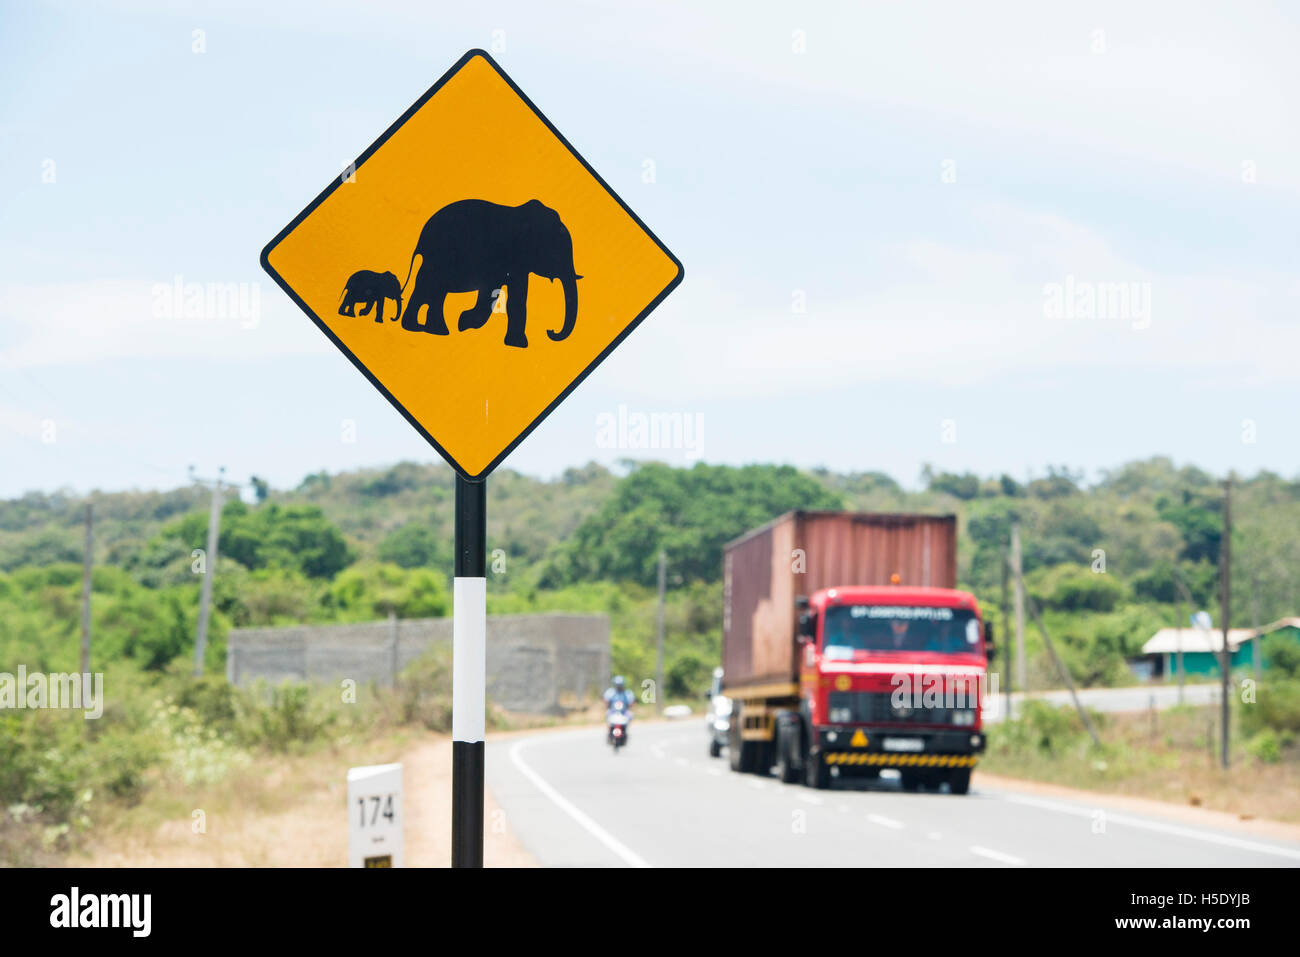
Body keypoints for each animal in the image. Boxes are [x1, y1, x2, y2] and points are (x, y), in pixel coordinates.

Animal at [398, 199, 581, 348]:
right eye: (555, 252)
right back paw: (425, 329)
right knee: (429, 287)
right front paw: (464, 323)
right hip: (438, 258)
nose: (550, 331)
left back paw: (433, 331)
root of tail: (421, 241)